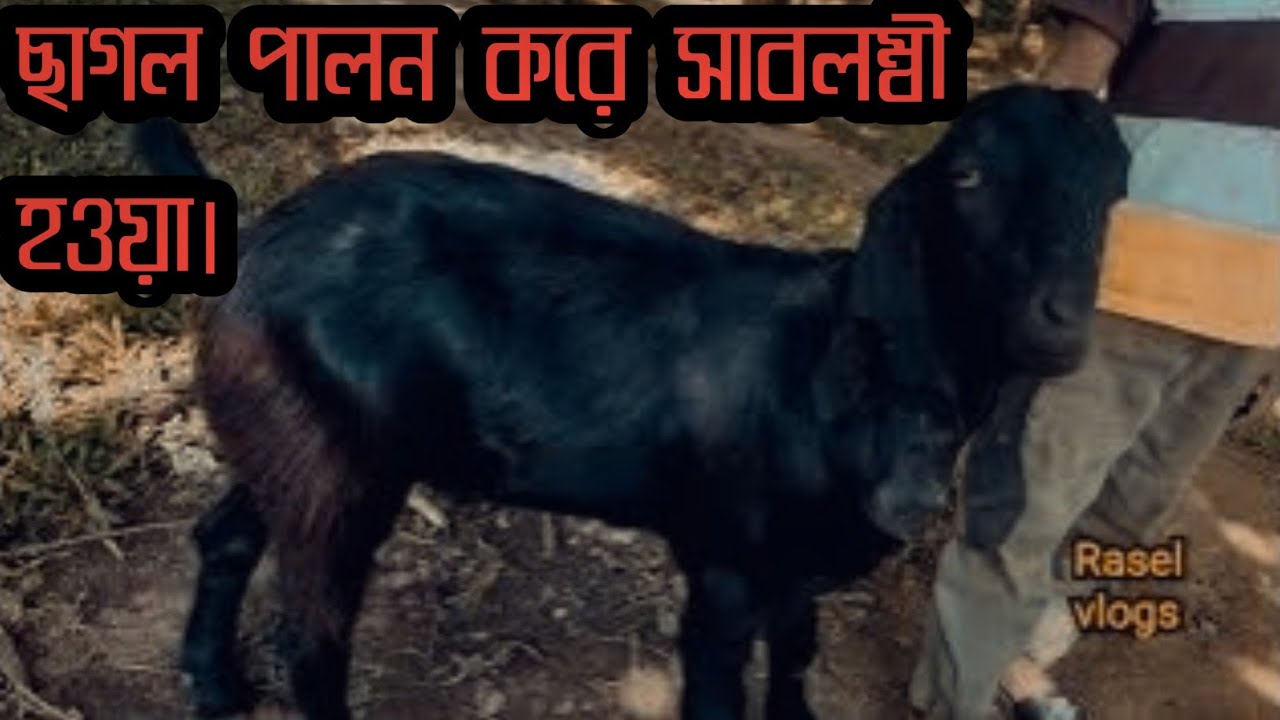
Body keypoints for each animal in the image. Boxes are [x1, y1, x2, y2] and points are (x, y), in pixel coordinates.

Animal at [131, 84, 1129, 720]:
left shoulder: (794, 573)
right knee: (313, 636)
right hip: (341, 471)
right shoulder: (723, 564)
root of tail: (261, 235)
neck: (822, 364)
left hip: (295, 434)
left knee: (226, 536)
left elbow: (797, 665)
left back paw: (212, 685)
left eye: (1116, 190)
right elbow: (718, 692)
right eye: (967, 177)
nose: (1061, 324)